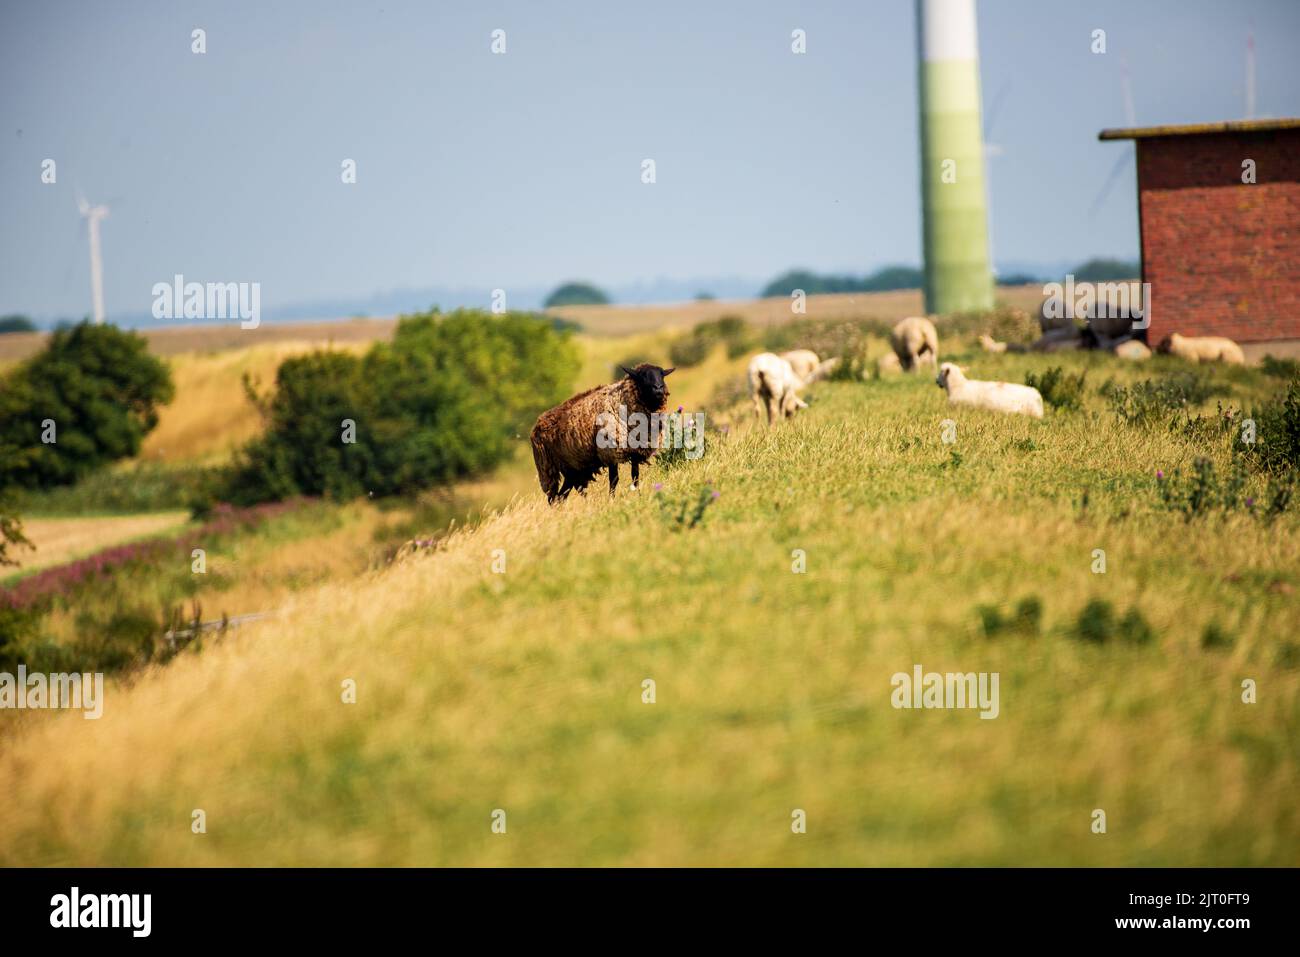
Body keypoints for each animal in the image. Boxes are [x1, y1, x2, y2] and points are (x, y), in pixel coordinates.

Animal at [530, 363, 674, 503]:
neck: (622, 401)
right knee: (554, 496)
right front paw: (611, 501)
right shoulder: (610, 453)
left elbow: (635, 477)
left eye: (662, 374)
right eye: (642, 375)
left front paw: (638, 497)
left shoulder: (635, 453)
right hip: (548, 469)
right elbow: (614, 480)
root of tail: (537, 423)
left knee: (564, 494)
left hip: (573, 468)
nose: (658, 389)